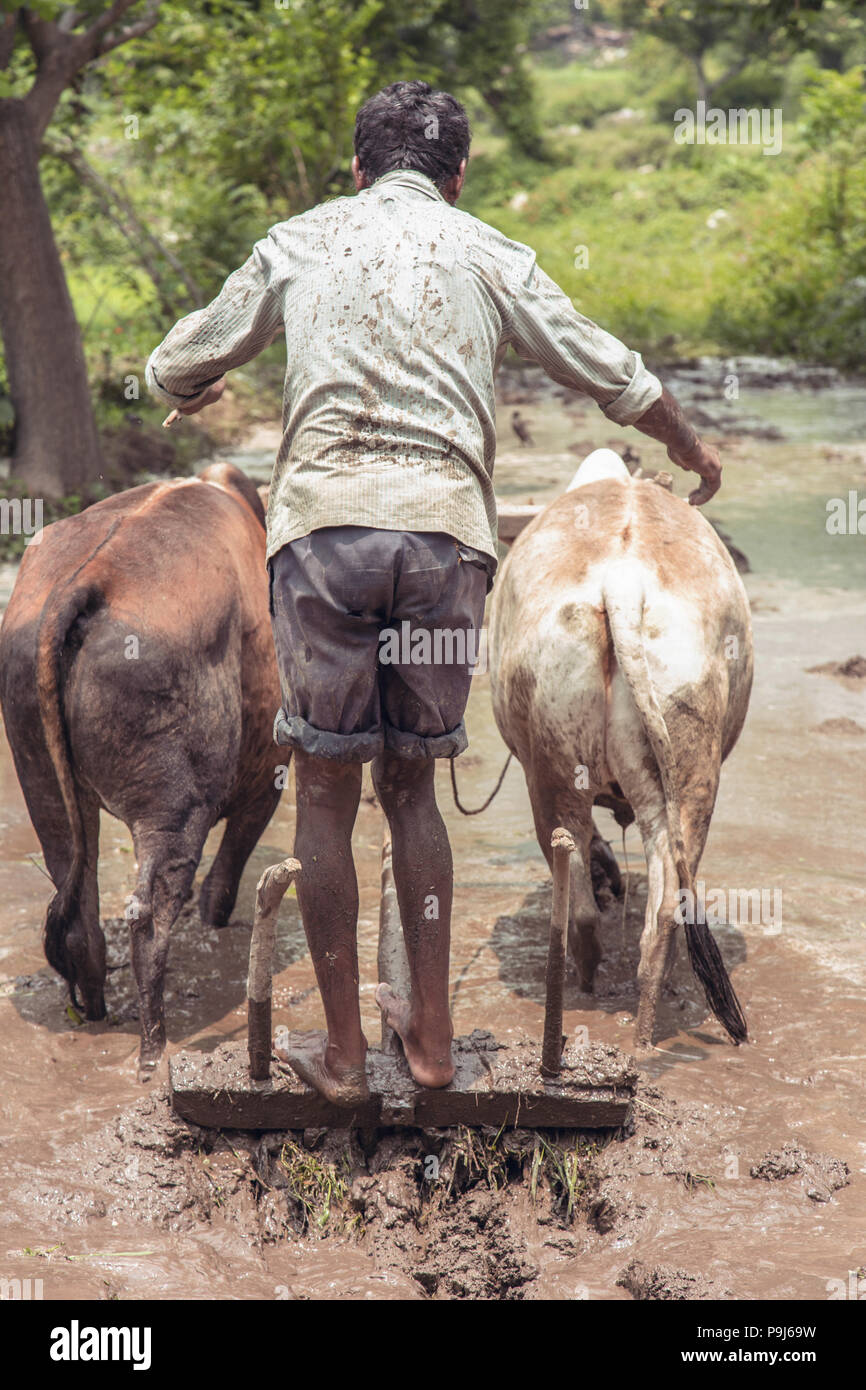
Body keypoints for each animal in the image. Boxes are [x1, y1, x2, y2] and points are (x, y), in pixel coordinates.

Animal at [0, 463, 282, 1077]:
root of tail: (89, 581)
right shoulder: (269, 767)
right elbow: (229, 867)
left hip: (37, 769)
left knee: (77, 906)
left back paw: (97, 1014)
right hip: (174, 800)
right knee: (149, 917)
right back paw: (155, 1050)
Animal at [489, 449, 753, 1051]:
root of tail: (623, 583)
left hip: (556, 775)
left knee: (593, 908)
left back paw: (600, 994)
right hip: (682, 784)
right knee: (656, 915)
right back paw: (641, 1029)